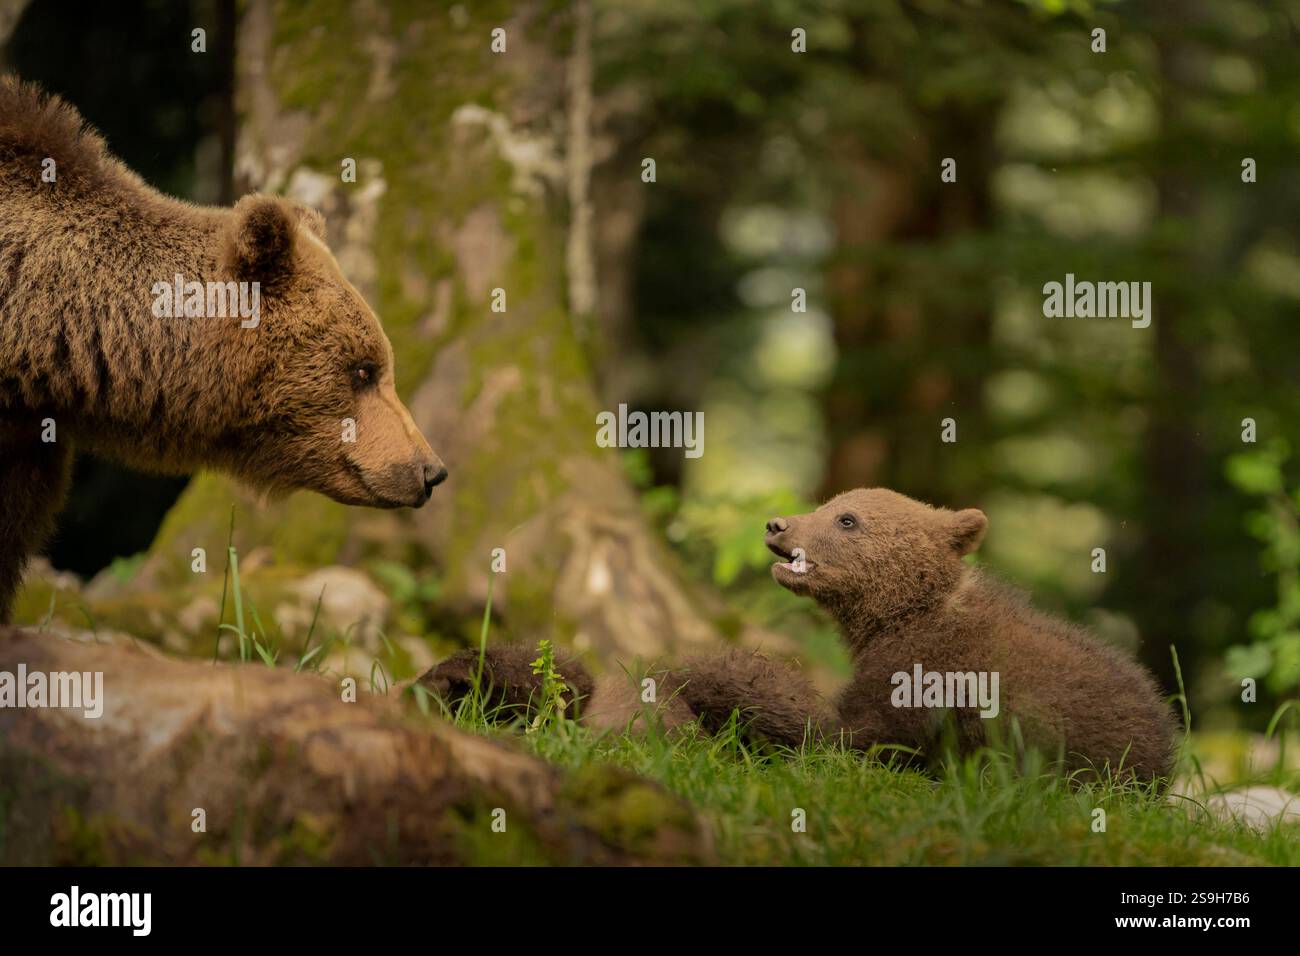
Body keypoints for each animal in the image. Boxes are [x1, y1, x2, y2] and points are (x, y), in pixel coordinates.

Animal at [422, 488, 1179, 782]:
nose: (778, 524)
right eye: (833, 500)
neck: (892, 620)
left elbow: (834, 730)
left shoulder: (918, 679)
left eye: (848, 517)